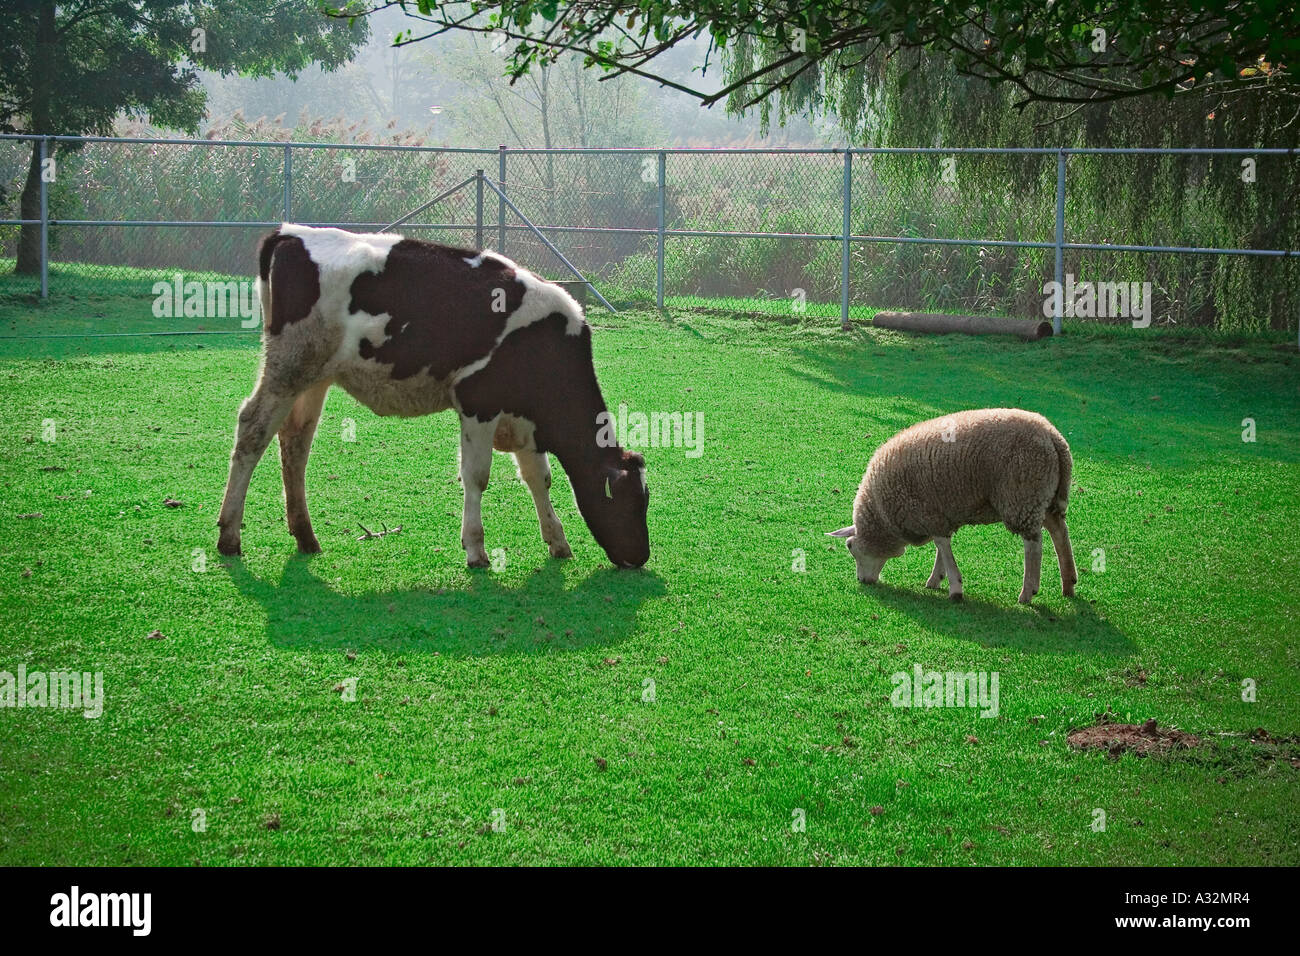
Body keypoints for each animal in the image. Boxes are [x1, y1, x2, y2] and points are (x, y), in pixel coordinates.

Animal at [216, 224, 650, 569]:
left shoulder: (524, 420)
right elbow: (477, 476)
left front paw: (557, 541)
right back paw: (229, 536)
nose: (641, 557)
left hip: (313, 379)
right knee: (253, 429)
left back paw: (305, 536)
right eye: (628, 503)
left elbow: (538, 478)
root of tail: (290, 233)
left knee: (295, 442)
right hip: (287, 369)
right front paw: (476, 550)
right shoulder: (478, 402)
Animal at [827, 408, 1077, 604]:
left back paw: (1027, 592)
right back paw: (1069, 583)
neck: (884, 517)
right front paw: (936, 579)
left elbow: (942, 546)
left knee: (1034, 543)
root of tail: (1054, 437)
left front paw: (955, 587)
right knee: (1058, 531)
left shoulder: (928, 513)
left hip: (1022, 495)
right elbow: (942, 547)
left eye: (850, 546)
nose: (862, 580)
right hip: (1045, 495)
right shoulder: (940, 514)